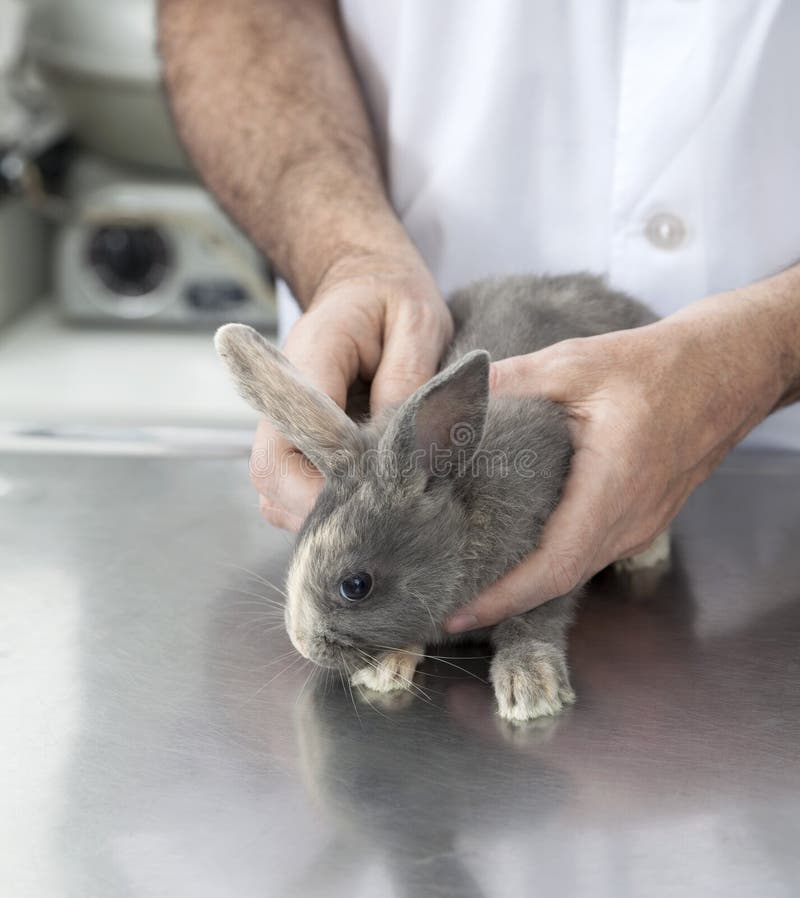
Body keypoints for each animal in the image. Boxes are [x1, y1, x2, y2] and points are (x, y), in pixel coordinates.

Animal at [215, 273, 661, 722]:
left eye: (355, 586)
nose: (303, 646)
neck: (465, 521)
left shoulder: (551, 568)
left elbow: (533, 621)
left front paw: (531, 687)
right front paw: (386, 668)